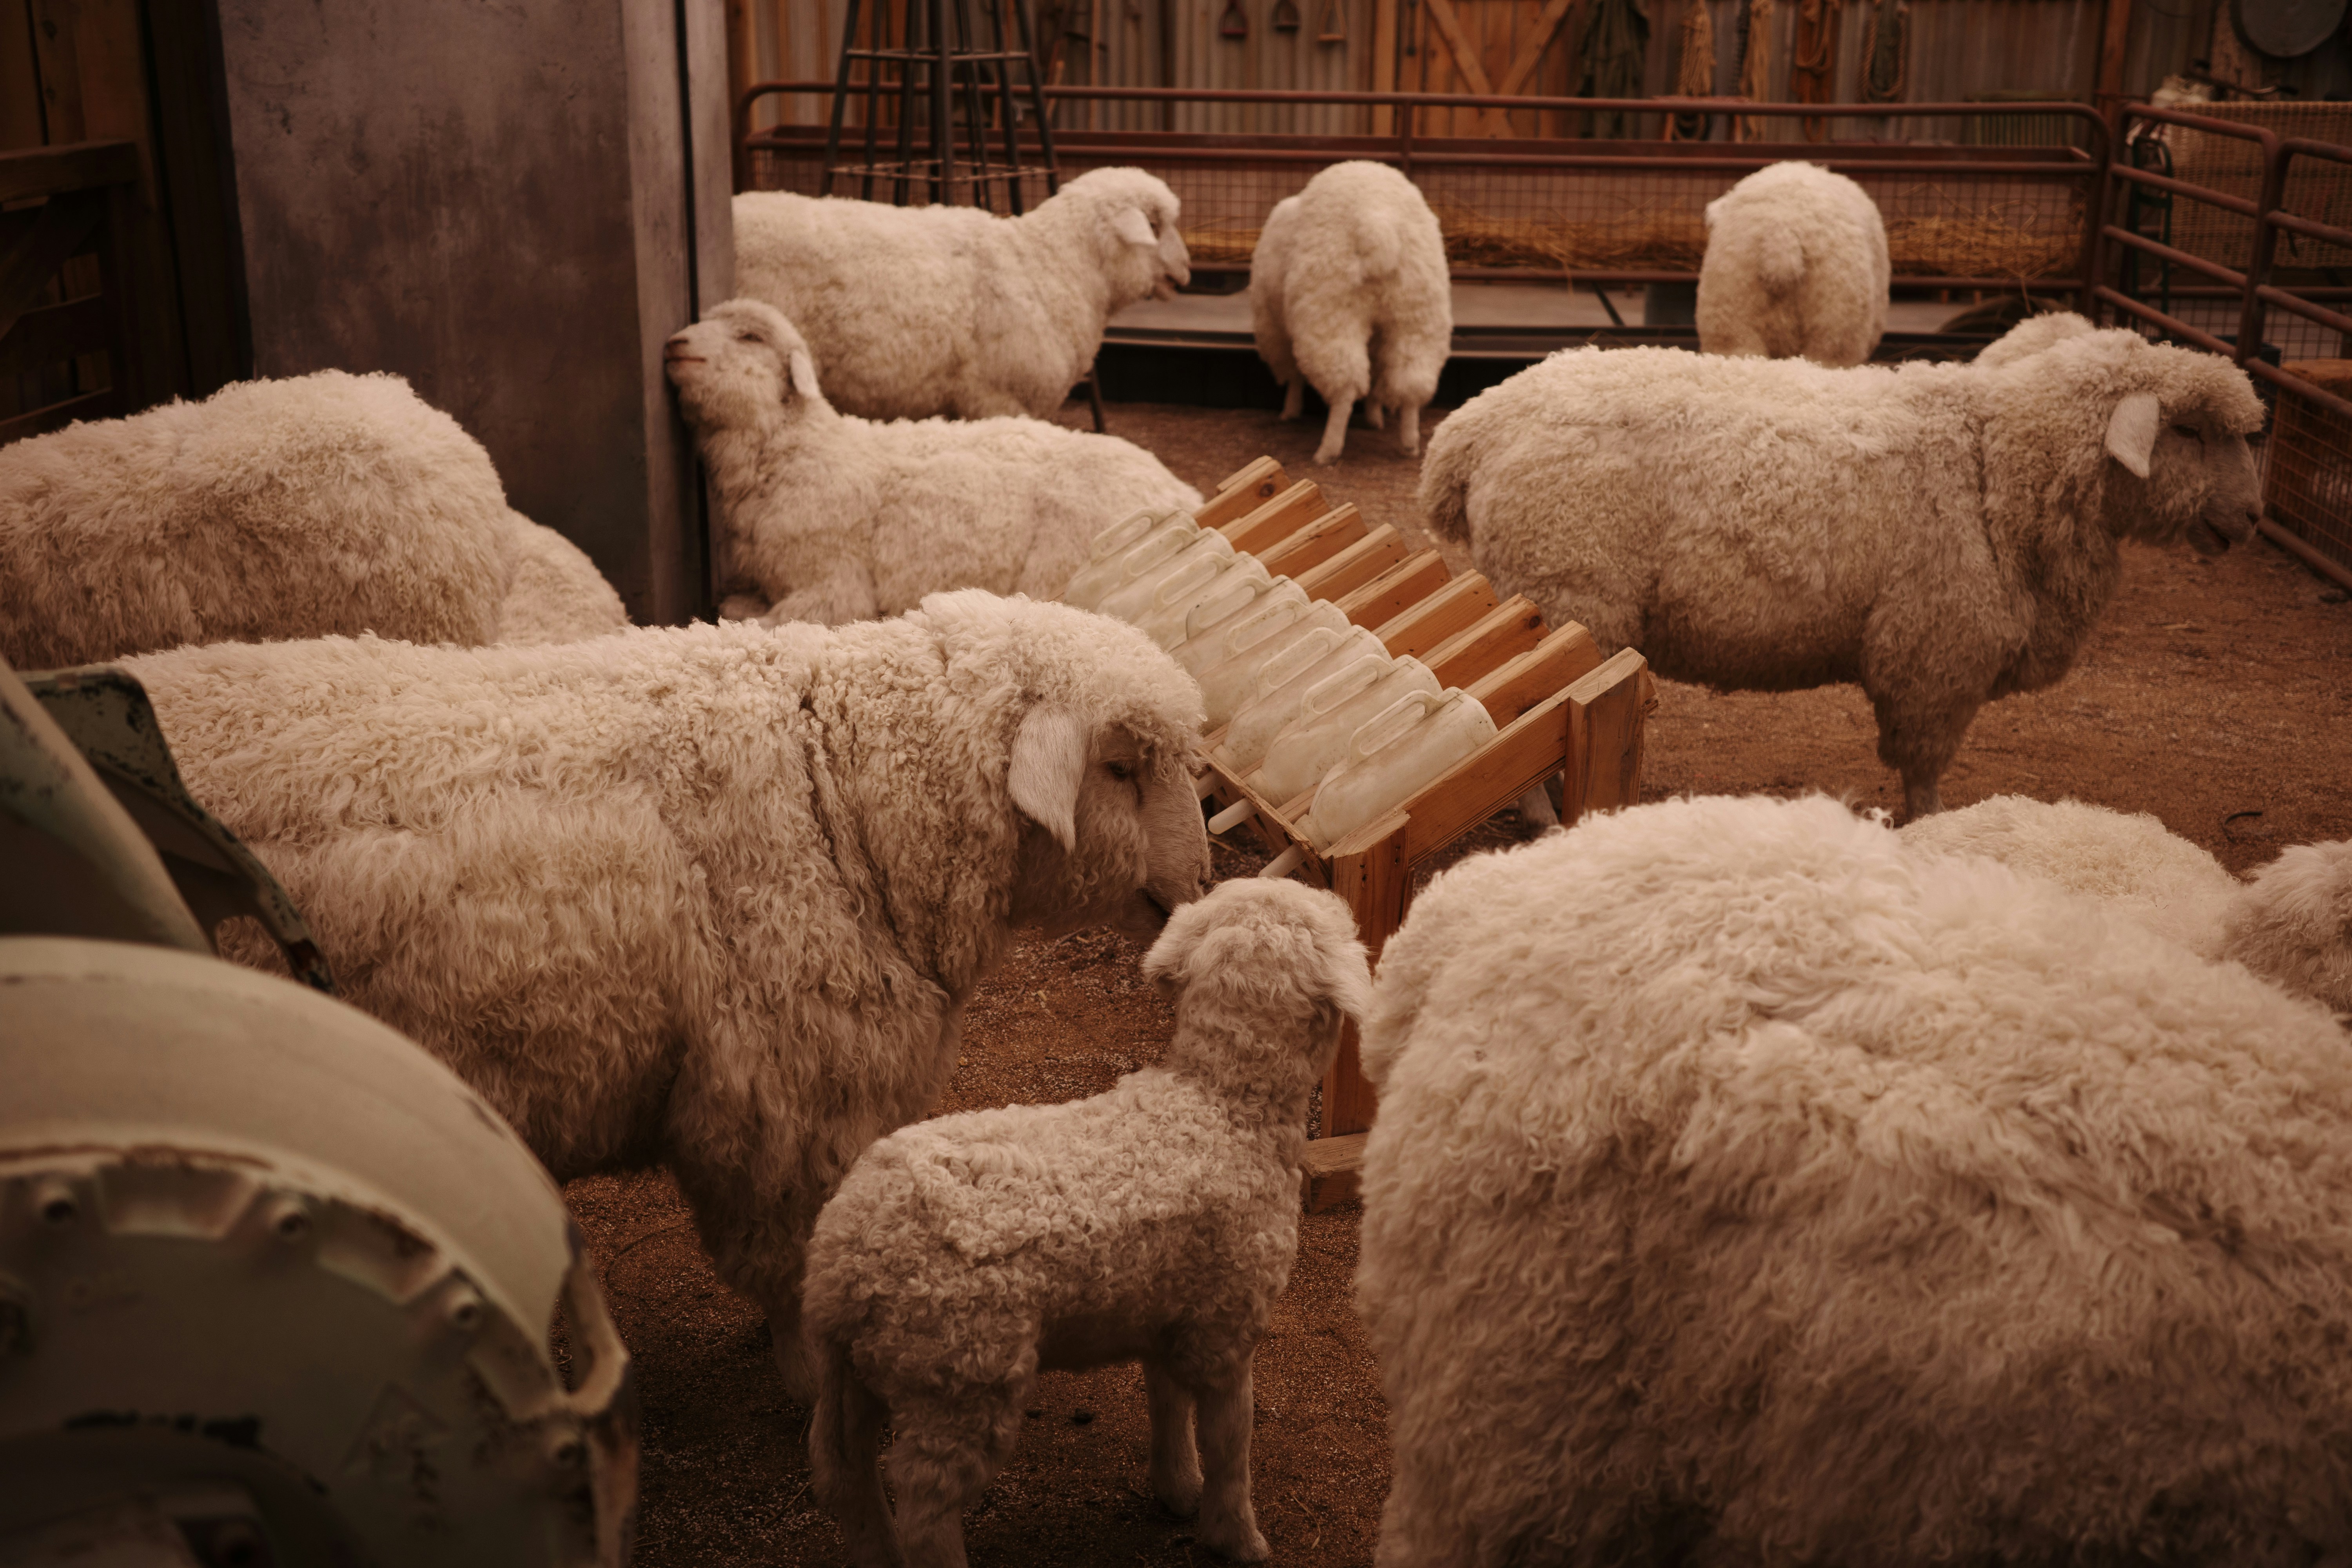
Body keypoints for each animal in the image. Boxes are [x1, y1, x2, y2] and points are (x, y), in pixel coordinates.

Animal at [119, 589, 1212, 1400]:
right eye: (1123, 765)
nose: (1203, 879)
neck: (845, 788)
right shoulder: (787, 1107)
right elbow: (796, 1265)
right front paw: (809, 1376)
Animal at [665, 299, 1200, 626]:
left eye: (750, 337)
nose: (674, 344)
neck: (796, 448)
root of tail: (1184, 492)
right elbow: (739, 605)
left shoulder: (833, 582)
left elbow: (774, 618)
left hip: (1063, 561)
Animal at [804, 878, 1371, 1567]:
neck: (1220, 1104)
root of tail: (844, 1258)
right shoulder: (1225, 1327)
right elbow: (1231, 1442)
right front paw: (1237, 1537)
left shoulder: (1165, 1311)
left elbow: (1167, 1403)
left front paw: (1178, 1489)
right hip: (958, 1378)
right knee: (924, 1506)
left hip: (855, 1373)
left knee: (845, 1476)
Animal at [1248, 162, 1452, 465]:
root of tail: (1378, 223)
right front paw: (1375, 416)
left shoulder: (1276, 330)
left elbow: (1294, 375)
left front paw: (1290, 410)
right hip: (1418, 317)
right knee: (1411, 384)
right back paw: (1409, 442)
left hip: (1330, 314)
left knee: (1344, 388)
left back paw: (1327, 450)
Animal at [1418, 326, 2266, 818]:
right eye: (2190, 431)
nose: (2254, 518)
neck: (1996, 462)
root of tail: (1468, 431)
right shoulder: (1934, 659)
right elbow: (1923, 780)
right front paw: (1928, 828)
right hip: (1570, 592)